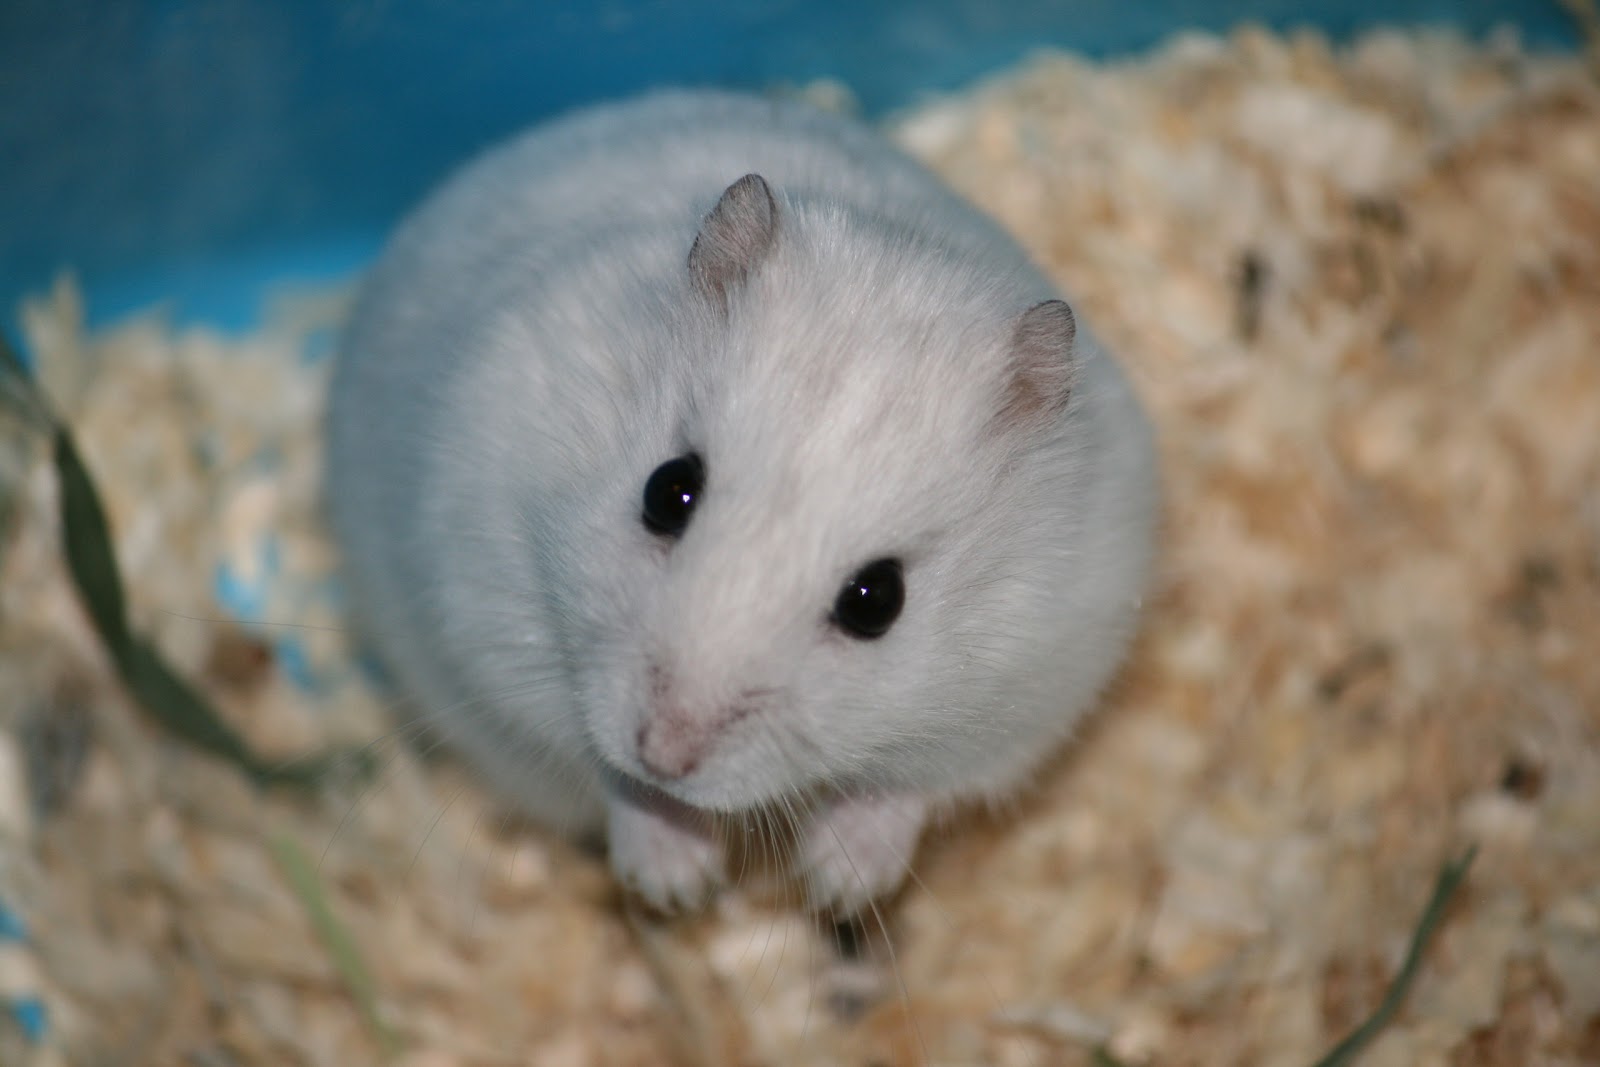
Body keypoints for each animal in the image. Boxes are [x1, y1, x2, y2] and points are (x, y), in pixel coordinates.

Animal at [324, 89, 1158, 915]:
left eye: (877, 600)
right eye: (668, 491)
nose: (665, 753)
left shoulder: (1024, 699)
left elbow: (909, 788)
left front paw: (836, 884)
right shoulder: (494, 619)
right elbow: (606, 774)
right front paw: (679, 883)